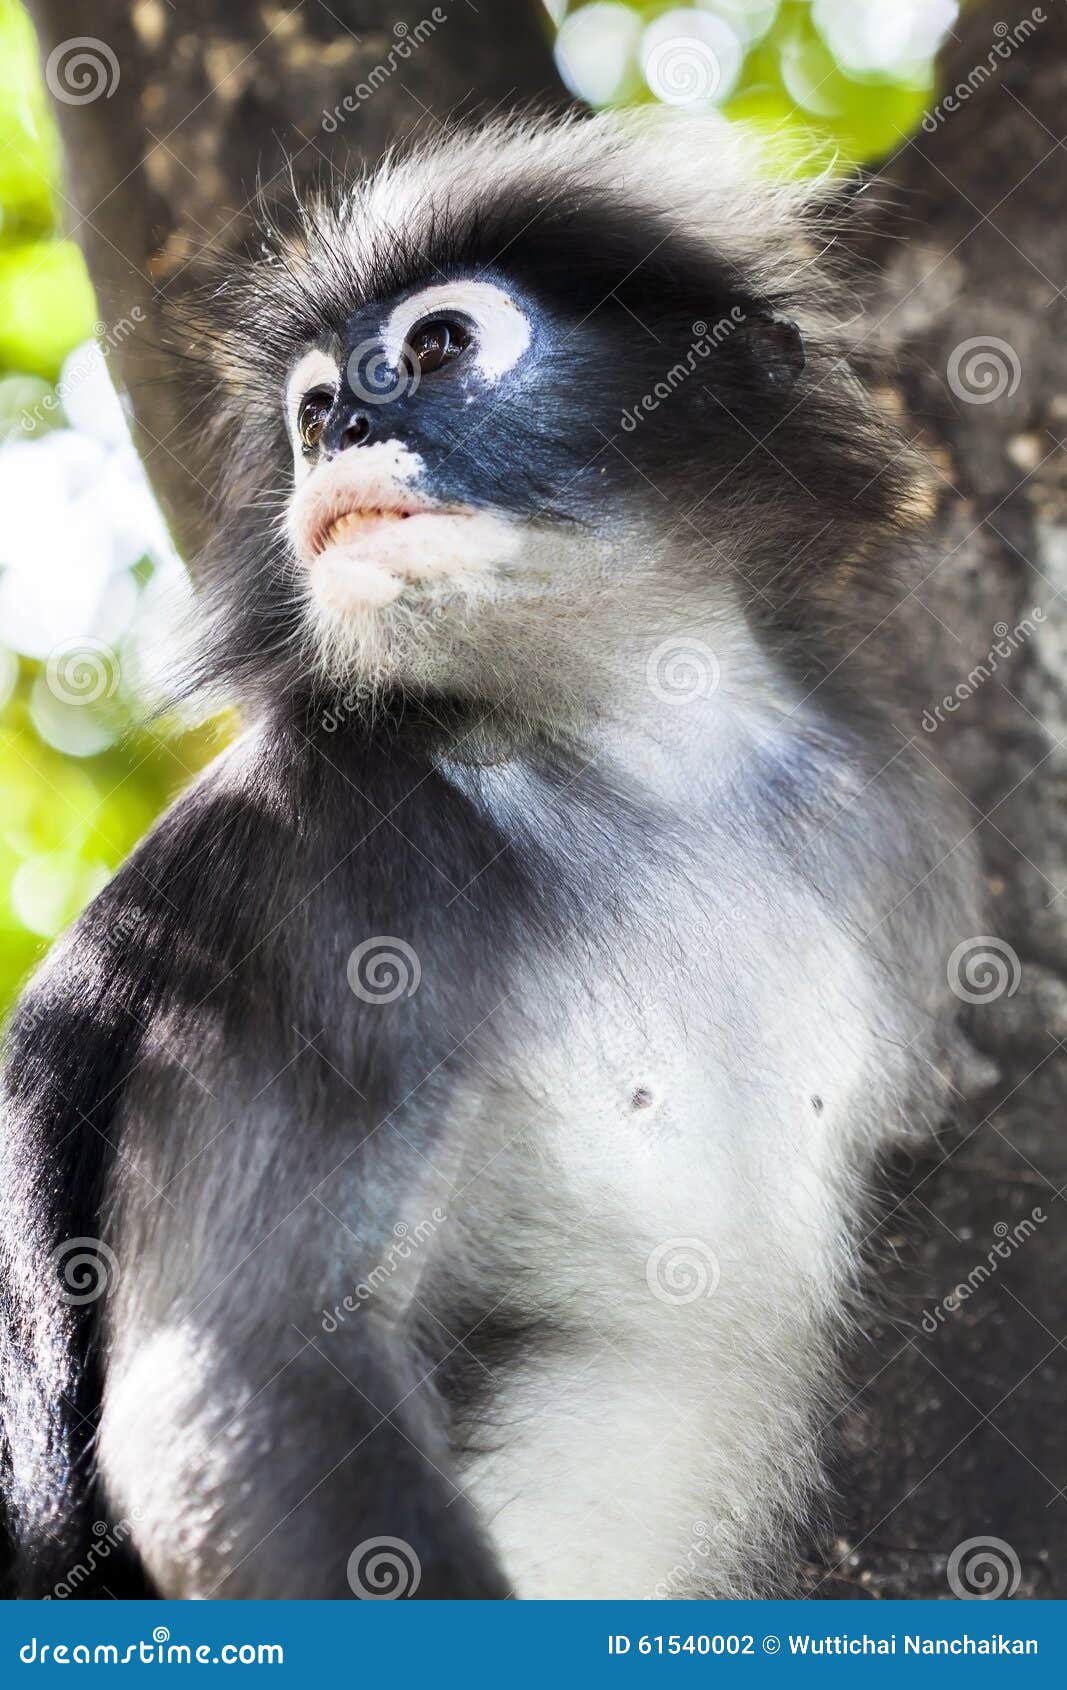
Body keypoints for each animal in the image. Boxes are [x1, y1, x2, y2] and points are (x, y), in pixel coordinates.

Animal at [0, 111, 978, 1600]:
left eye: (439, 344)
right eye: (308, 414)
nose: (341, 426)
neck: (631, 758)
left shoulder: (887, 814)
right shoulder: (328, 844)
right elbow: (245, 1362)